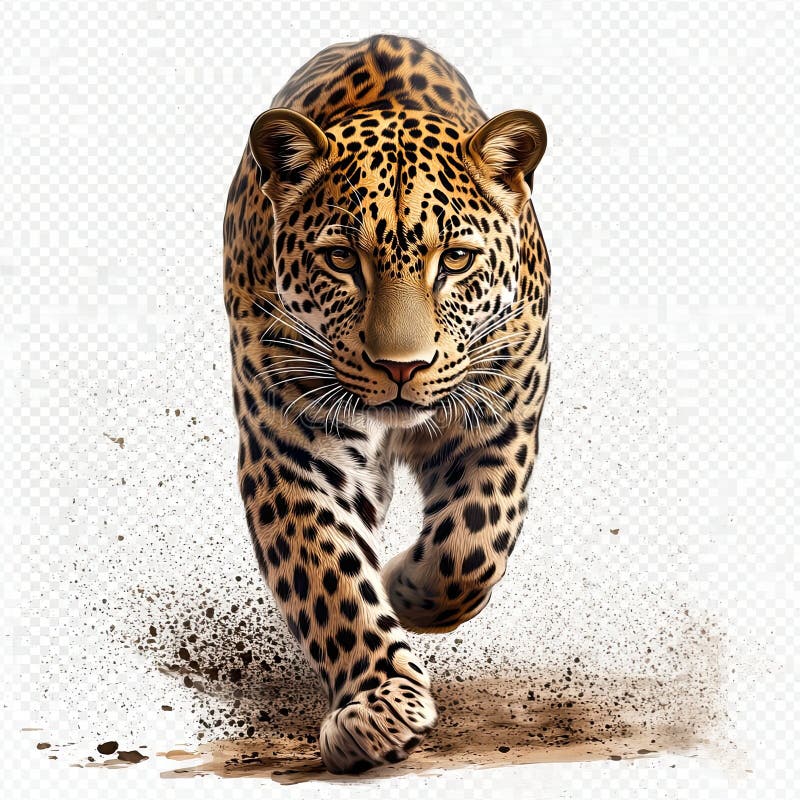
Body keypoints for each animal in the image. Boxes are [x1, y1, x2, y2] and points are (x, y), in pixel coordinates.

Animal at [223, 33, 550, 773]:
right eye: (342, 259)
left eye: (455, 260)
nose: (402, 367)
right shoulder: (289, 450)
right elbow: (330, 576)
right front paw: (379, 703)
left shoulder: (502, 419)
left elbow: (473, 546)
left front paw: (405, 586)